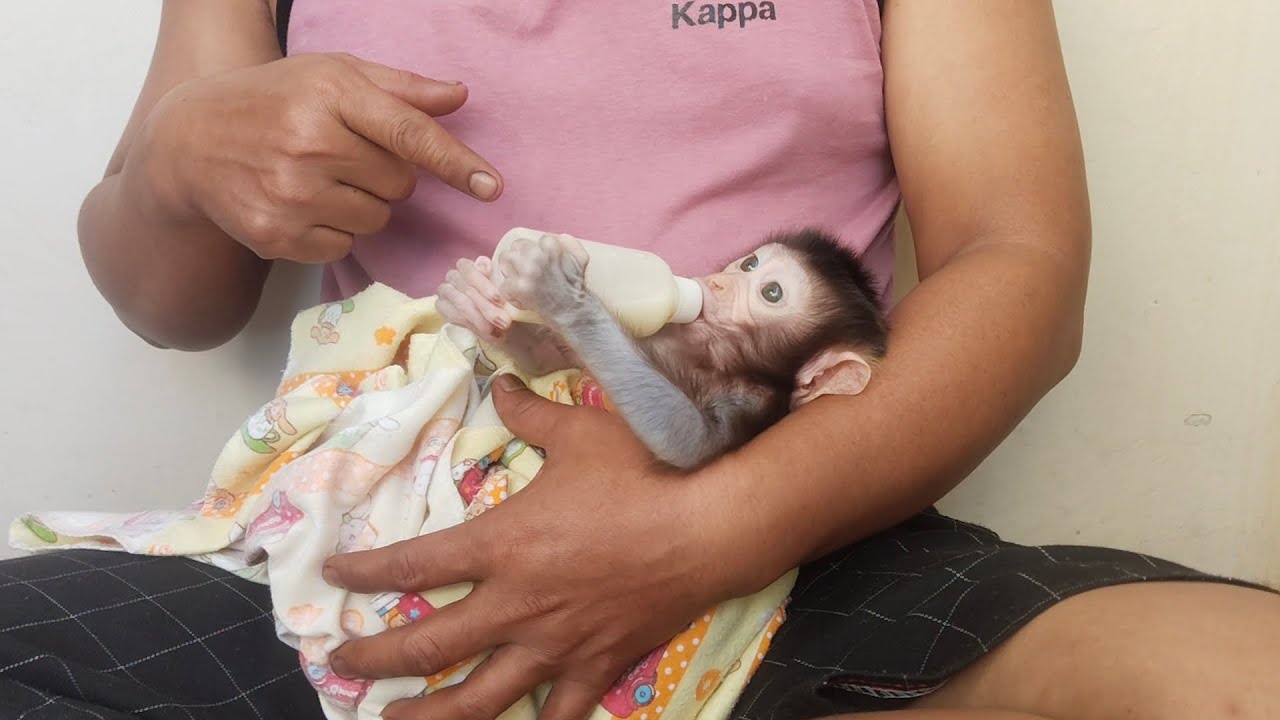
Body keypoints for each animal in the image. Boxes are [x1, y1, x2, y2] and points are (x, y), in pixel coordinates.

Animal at [435, 227, 889, 470]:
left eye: (772, 293)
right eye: (750, 264)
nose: (716, 283)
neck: (712, 349)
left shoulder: (750, 403)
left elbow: (685, 439)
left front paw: (558, 290)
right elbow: (552, 360)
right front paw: (473, 297)